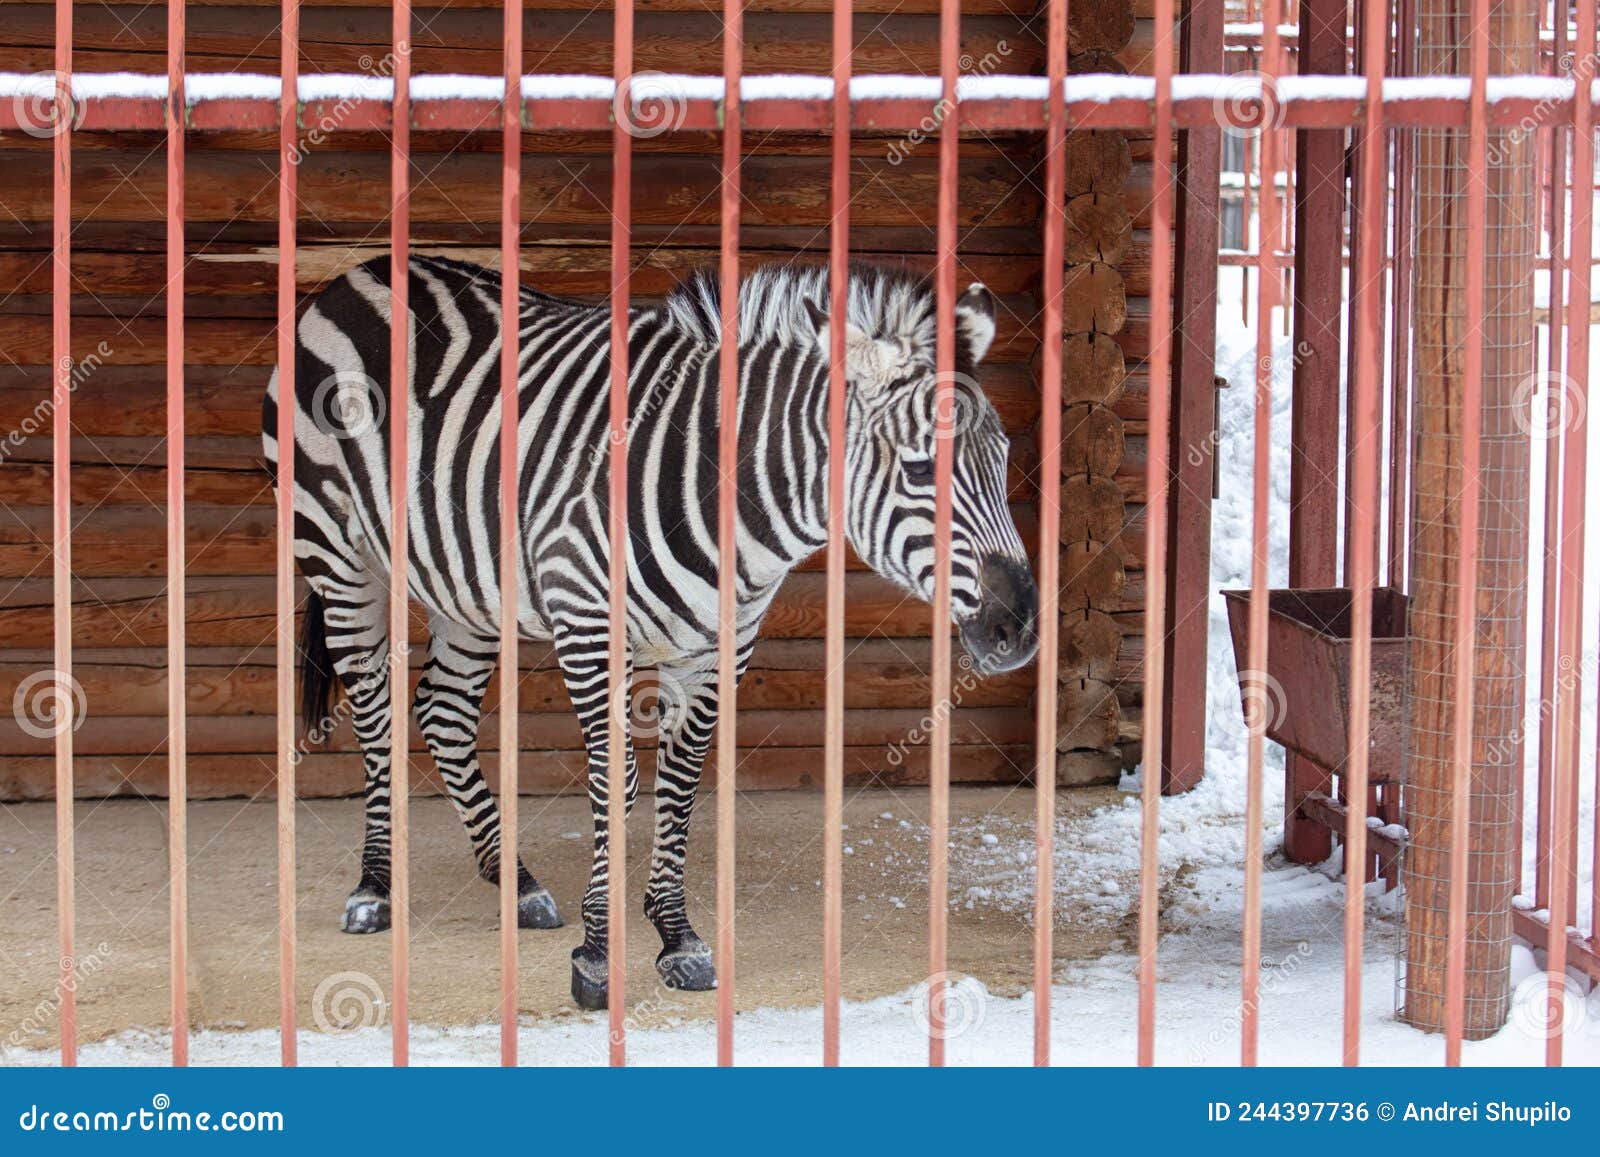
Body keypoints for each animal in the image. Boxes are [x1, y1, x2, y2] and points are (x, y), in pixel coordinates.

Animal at [262, 255, 1040, 1010]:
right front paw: (598, 955)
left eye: (1005, 456)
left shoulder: (718, 648)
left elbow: (681, 779)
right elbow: (620, 780)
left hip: (467, 580)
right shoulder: (584, 619)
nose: (1022, 628)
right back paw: (374, 888)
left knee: (444, 713)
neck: (722, 492)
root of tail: (354, 274)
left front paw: (675, 935)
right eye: (920, 467)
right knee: (374, 709)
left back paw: (514, 879)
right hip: (337, 553)